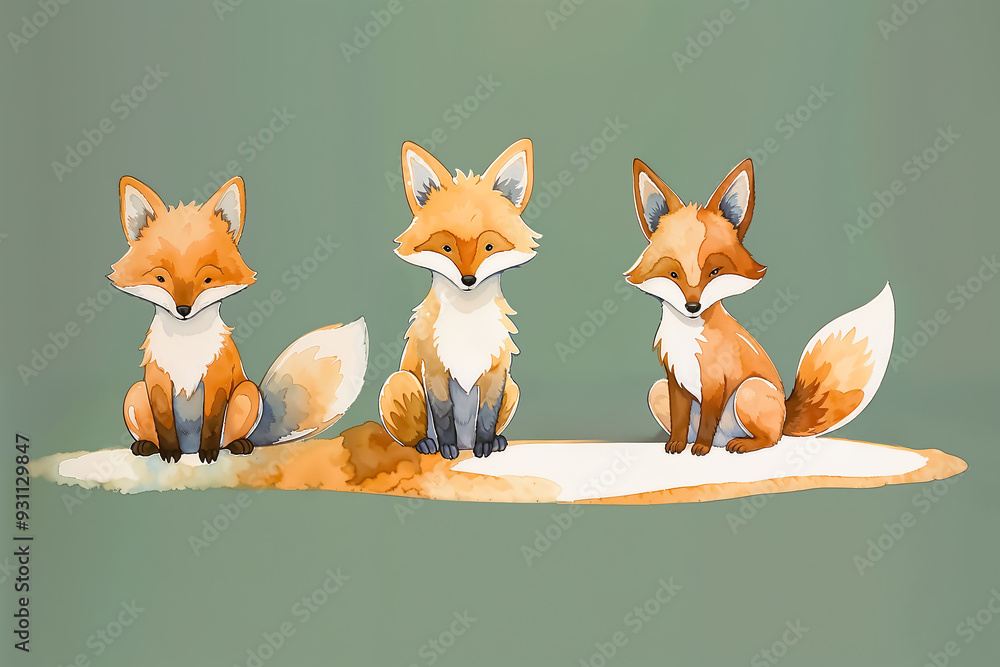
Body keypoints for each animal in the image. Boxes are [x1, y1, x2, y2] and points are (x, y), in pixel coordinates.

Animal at [110, 175, 368, 463]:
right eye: (160, 278)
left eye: (208, 279)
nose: (183, 309)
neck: (187, 345)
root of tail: (189, 447)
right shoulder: (158, 381)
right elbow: (164, 422)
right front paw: (168, 451)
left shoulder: (218, 379)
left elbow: (213, 422)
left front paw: (209, 451)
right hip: (135, 393)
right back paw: (148, 446)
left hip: (247, 393)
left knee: (229, 437)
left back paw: (237, 445)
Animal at [378, 139, 540, 460]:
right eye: (446, 247)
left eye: (489, 246)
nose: (468, 281)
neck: (467, 324)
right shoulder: (434, 369)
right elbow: (443, 416)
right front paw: (447, 448)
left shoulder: (497, 371)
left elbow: (487, 417)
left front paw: (487, 444)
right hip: (401, 382)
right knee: (411, 436)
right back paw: (426, 444)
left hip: (513, 388)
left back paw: (495, 441)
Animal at [626, 158, 894, 456]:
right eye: (673, 274)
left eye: (715, 272)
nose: (693, 306)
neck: (688, 336)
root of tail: (786, 417)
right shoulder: (674, 381)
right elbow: (680, 421)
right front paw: (677, 444)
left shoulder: (716, 382)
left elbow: (707, 421)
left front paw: (700, 449)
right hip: (657, 391)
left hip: (748, 390)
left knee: (771, 439)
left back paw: (741, 444)